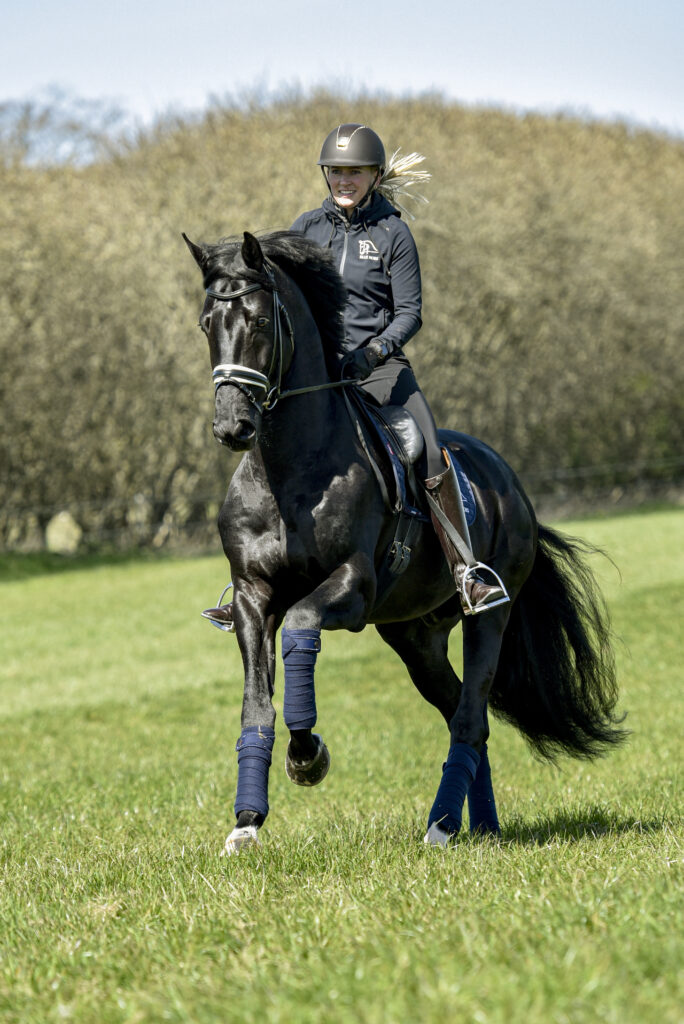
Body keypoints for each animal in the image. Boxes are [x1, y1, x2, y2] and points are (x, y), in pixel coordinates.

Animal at [183, 228, 625, 855]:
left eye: (261, 321)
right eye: (206, 324)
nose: (232, 427)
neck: (289, 471)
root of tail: (509, 480)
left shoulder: (352, 586)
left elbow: (300, 629)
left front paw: (308, 757)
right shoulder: (251, 597)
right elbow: (256, 707)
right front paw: (246, 823)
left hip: (488, 614)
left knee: (469, 714)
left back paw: (441, 825)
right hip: (415, 636)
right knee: (464, 712)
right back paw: (479, 825)